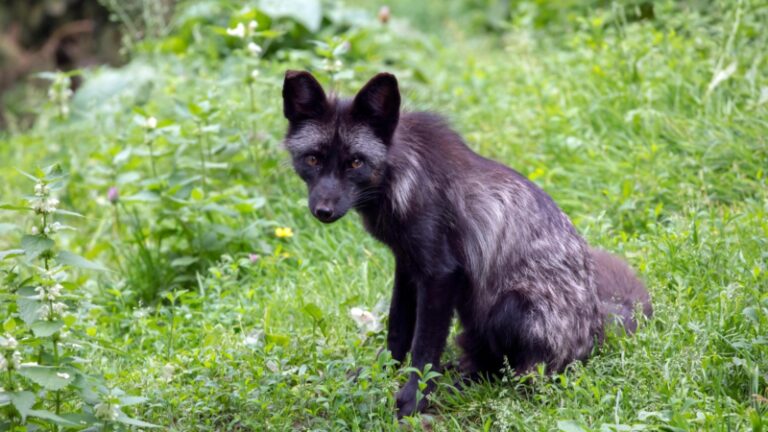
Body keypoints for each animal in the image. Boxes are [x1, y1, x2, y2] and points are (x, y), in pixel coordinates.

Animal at [281, 70, 652, 418]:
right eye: (312, 159)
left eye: (356, 162)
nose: (323, 211)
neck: (402, 176)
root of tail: (597, 330)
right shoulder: (407, 264)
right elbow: (397, 330)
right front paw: (379, 375)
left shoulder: (440, 273)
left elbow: (424, 347)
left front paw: (413, 401)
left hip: (510, 309)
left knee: (519, 377)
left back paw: (464, 386)